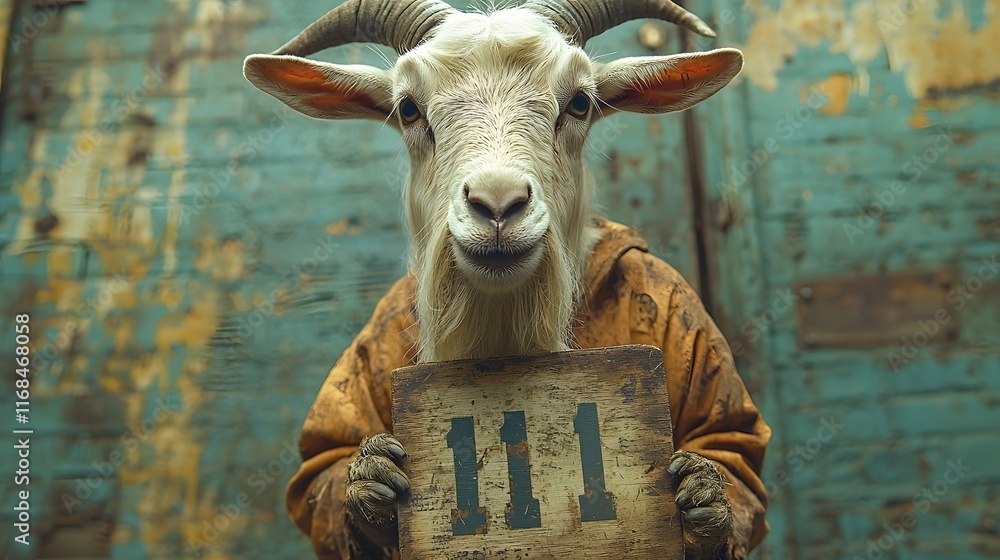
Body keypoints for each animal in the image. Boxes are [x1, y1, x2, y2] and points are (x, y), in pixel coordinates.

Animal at [244, 1, 765, 558]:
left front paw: (702, 497)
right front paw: (371, 484)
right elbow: (324, 462)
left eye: (579, 102)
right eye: (408, 109)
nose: (497, 203)